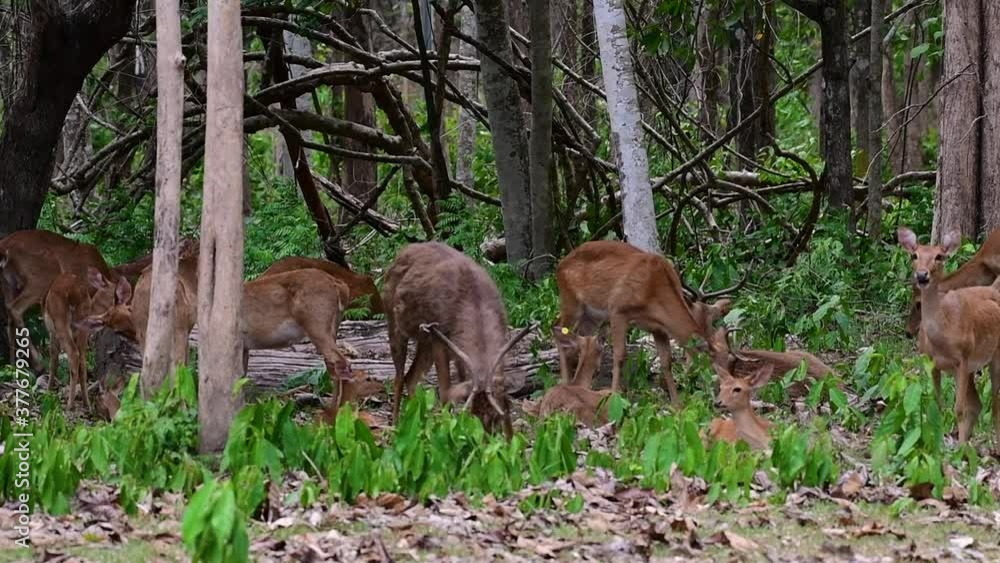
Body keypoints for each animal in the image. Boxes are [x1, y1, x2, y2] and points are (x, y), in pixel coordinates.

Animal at [42, 268, 126, 412]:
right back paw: (87, 404)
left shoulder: (52, 332)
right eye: (114, 292)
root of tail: (72, 292)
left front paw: (48, 391)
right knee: (81, 360)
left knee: (73, 354)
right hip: (81, 322)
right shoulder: (84, 333)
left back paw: (69, 405)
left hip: (60, 322)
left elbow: (53, 359)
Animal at [383, 242, 535, 437]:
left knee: (411, 379)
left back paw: (419, 426)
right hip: (394, 322)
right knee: (398, 378)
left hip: (425, 341)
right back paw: (396, 427)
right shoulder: (439, 338)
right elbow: (445, 393)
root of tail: (402, 252)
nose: (487, 439)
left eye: (497, 418)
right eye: (474, 414)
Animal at [555, 240, 738, 405]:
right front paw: (614, 395)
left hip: (591, 316)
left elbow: (666, 362)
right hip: (570, 301)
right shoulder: (617, 310)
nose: (723, 393)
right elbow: (619, 355)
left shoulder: (658, 328)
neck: (653, 288)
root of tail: (560, 265)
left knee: (579, 340)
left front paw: (677, 405)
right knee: (558, 330)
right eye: (711, 360)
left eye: (730, 360)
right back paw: (565, 384)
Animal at [898, 227, 1000, 444]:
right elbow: (938, 405)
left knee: (994, 406)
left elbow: (959, 409)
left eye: (917, 303)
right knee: (977, 404)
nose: (908, 332)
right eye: (914, 255)